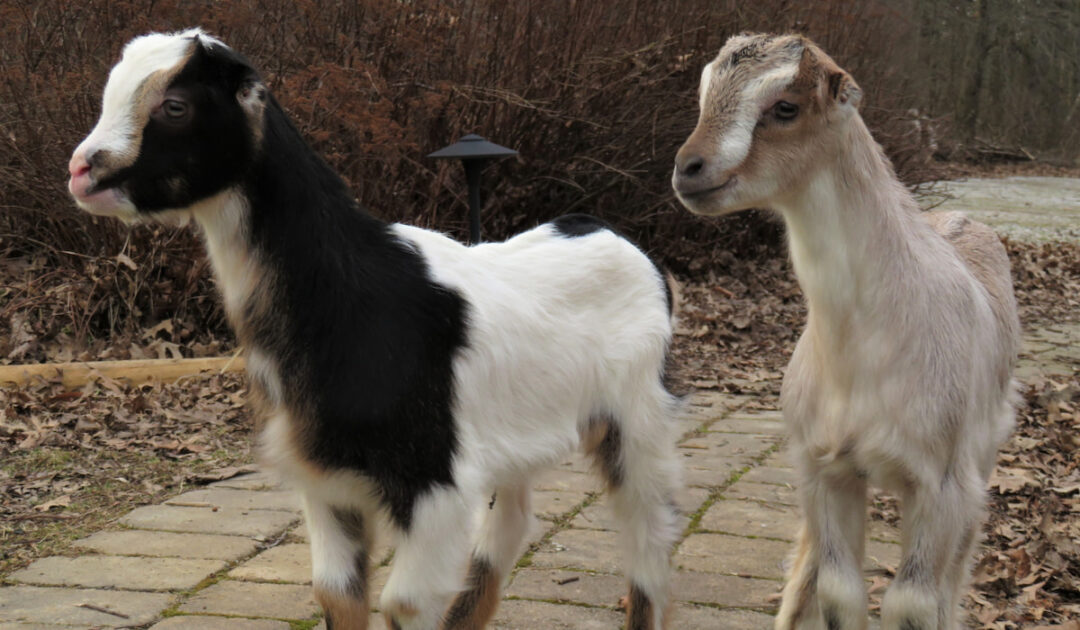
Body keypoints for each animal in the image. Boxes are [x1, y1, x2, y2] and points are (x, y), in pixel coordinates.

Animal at [69, 29, 682, 630]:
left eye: (175, 106)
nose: (81, 170)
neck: (348, 285)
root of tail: (605, 231)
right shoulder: (326, 483)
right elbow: (336, 594)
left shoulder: (434, 482)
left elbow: (404, 602)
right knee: (513, 520)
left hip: (638, 418)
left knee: (650, 538)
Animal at [672, 33, 1019, 630]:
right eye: (703, 95)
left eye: (786, 107)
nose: (688, 169)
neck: (863, 352)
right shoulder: (823, 469)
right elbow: (840, 592)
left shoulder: (940, 484)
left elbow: (913, 602)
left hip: (983, 452)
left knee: (959, 563)